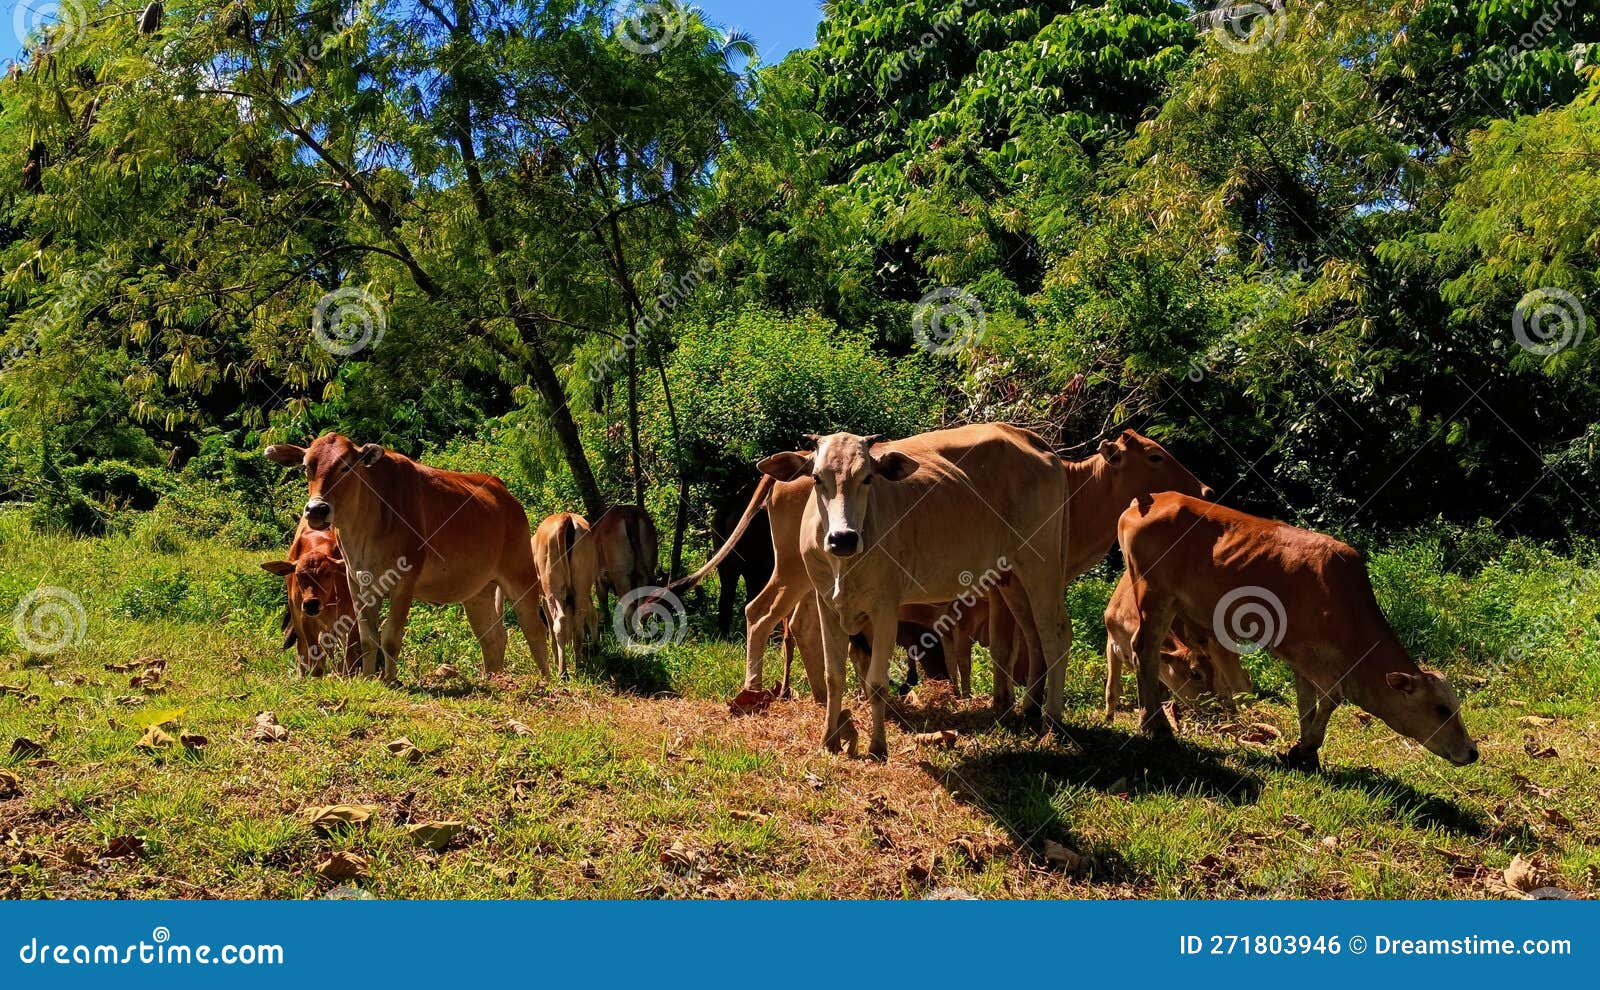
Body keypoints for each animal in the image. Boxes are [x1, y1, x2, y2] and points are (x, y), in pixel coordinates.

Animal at [261, 520, 359, 677]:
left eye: (328, 574)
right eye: (299, 575)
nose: (312, 604)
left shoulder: (350, 617)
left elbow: (350, 654)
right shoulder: (305, 620)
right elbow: (314, 656)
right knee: (302, 648)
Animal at [533, 512, 601, 679]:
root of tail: (565, 516)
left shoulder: (544, 598)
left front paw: (555, 660)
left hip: (553, 590)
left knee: (559, 624)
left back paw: (562, 671)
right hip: (581, 587)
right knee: (579, 624)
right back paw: (579, 665)